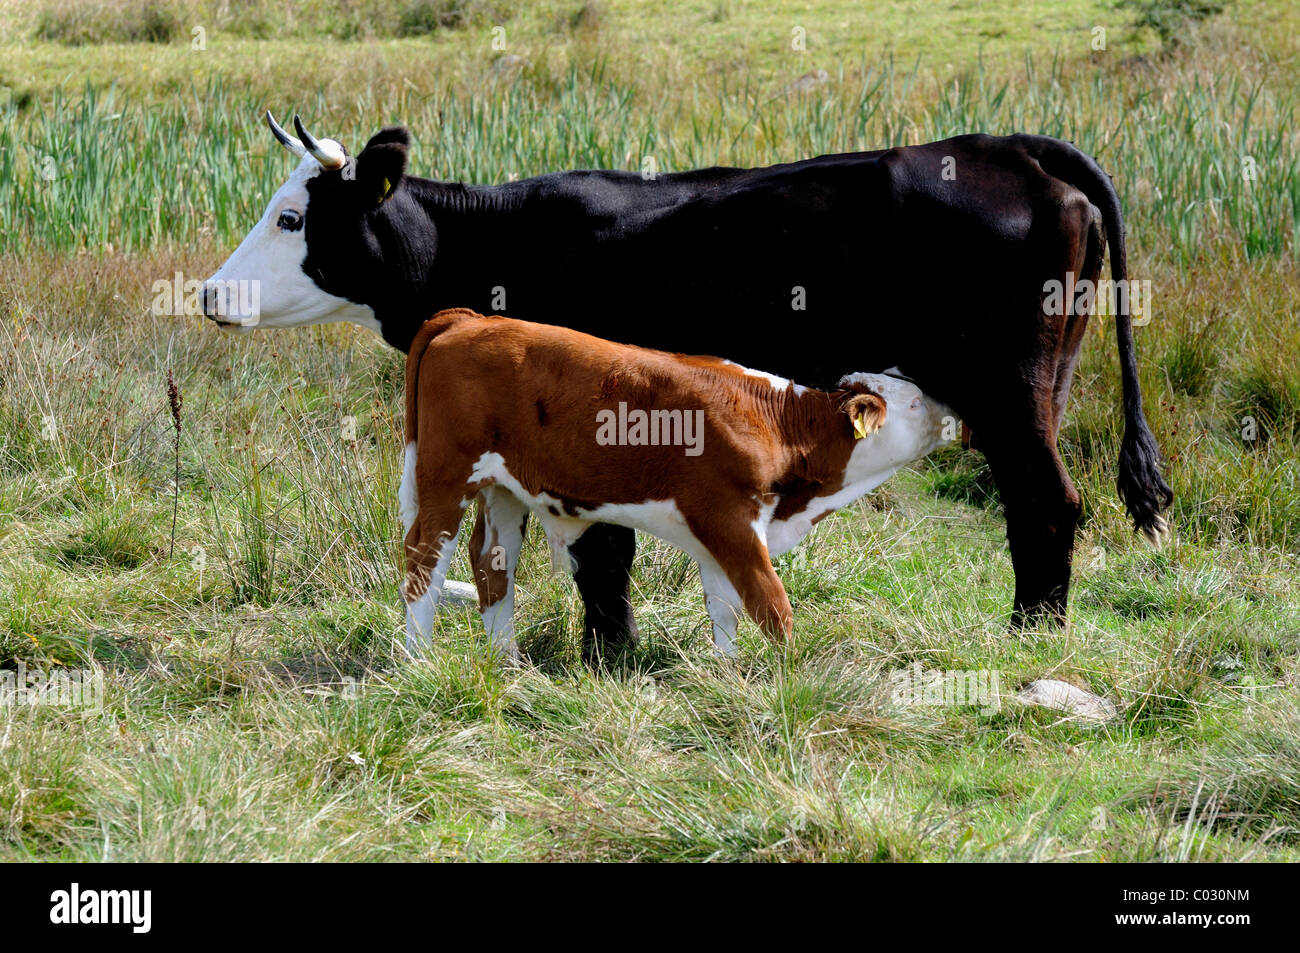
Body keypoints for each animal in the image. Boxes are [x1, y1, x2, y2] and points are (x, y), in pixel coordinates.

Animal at [401, 308, 954, 658]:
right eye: (913, 403)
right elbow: (771, 606)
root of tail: (471, 318)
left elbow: (725, 608)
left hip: (504, 489)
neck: (778, 423)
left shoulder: (720, 534)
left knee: (492, 565)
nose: (953, 414)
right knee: (424, 559)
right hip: (445, 475)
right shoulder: (731, 519)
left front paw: (727, 676)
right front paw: (791, 679)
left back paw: (508, 663)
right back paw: (418, 662)